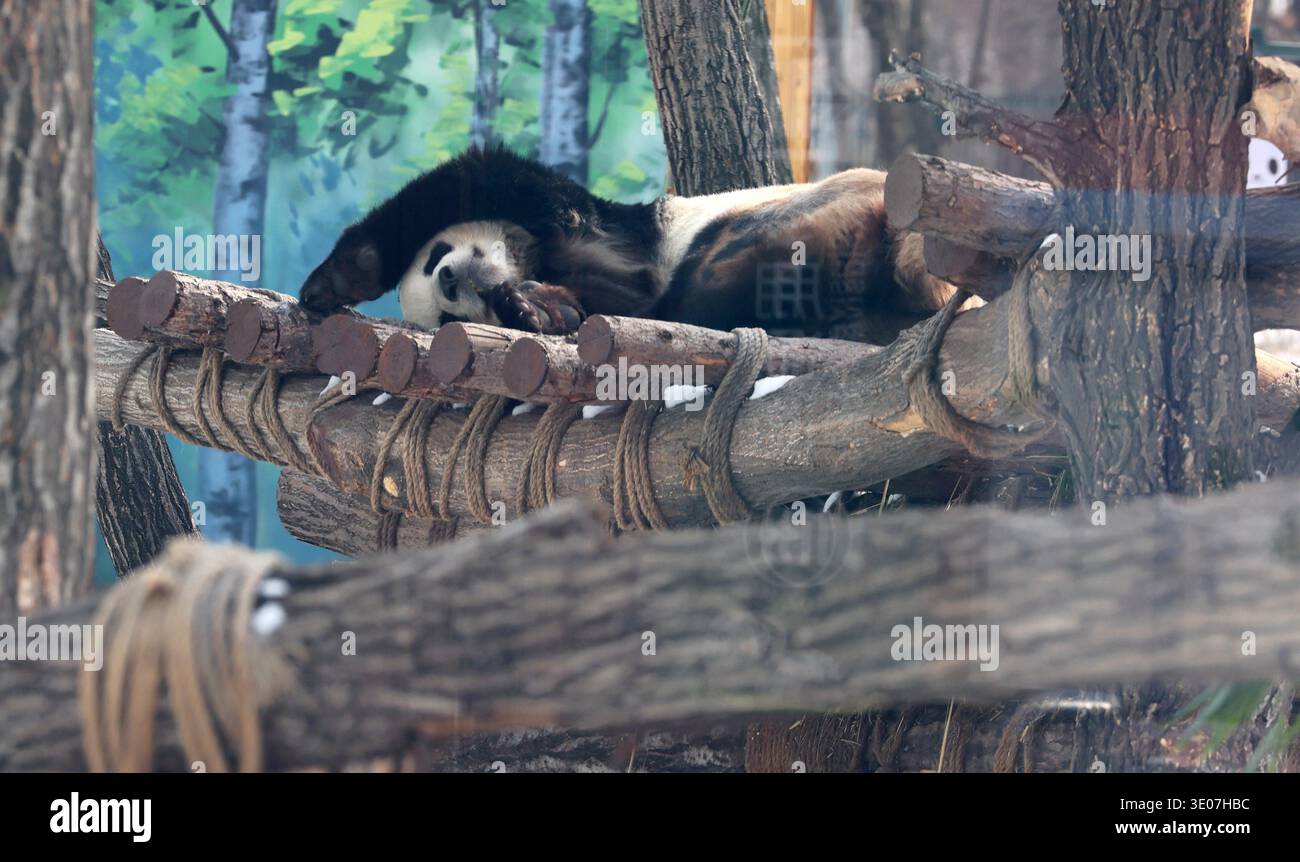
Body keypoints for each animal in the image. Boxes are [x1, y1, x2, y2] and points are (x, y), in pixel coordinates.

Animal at [299, 146, 954, 341]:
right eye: (446, 316)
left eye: (437, 259)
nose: (452, 279)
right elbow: (611, 302)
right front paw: (538, 308)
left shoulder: (597, 223)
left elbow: (472, 176)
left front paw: (333, 282)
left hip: (818, 208)